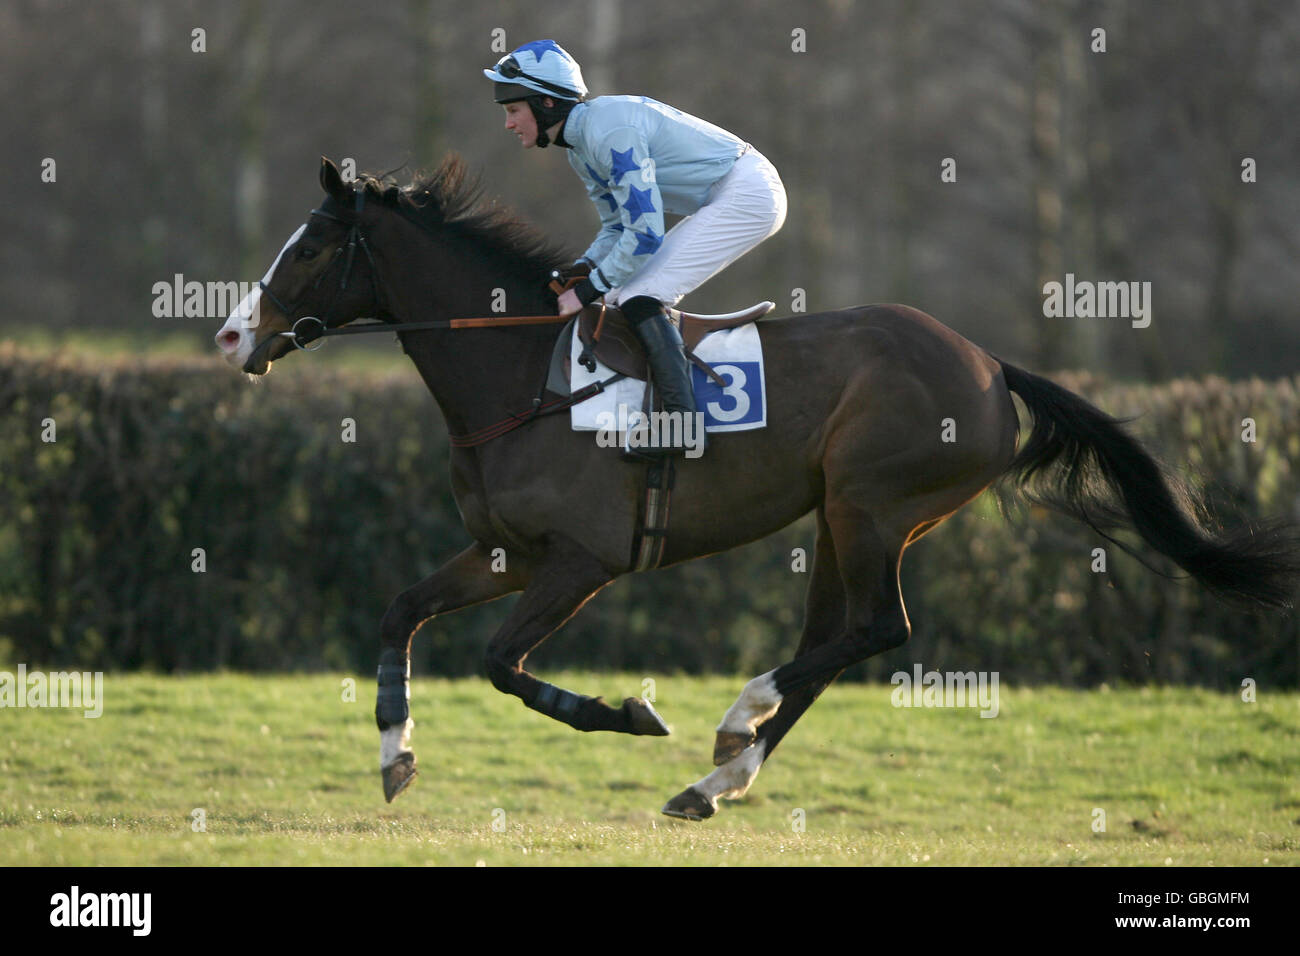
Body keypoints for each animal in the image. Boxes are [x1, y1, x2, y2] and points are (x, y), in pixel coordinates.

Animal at [215, 155, 1300, 820]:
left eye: (312, 246)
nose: (230, 335)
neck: (525, 376)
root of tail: (991, 364)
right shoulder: (505, 553)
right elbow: (402, 610)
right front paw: (394, 754)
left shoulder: (584, 560)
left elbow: (498, 661)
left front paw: (631, 713)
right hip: (840, 518)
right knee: (834, 641)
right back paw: (718, 776)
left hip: (871, 505)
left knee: (877, 630)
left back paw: (736, 721)